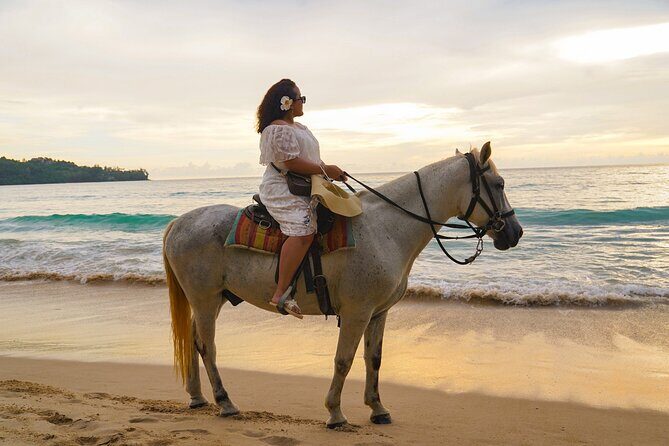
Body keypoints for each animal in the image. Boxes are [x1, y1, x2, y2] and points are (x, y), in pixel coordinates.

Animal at [162, 142, 523, 428]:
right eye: (499, 183)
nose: (515, 232)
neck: (386, 228)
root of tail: (179, 223)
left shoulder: (378, 313)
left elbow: (373, 359)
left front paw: (377, 409)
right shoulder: (356, 313)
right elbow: (343, 360)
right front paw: (335, 413)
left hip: (214, 300)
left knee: (194, 341)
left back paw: (197, 397)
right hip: (205, 300)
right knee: (207, 346)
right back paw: (224, 402)